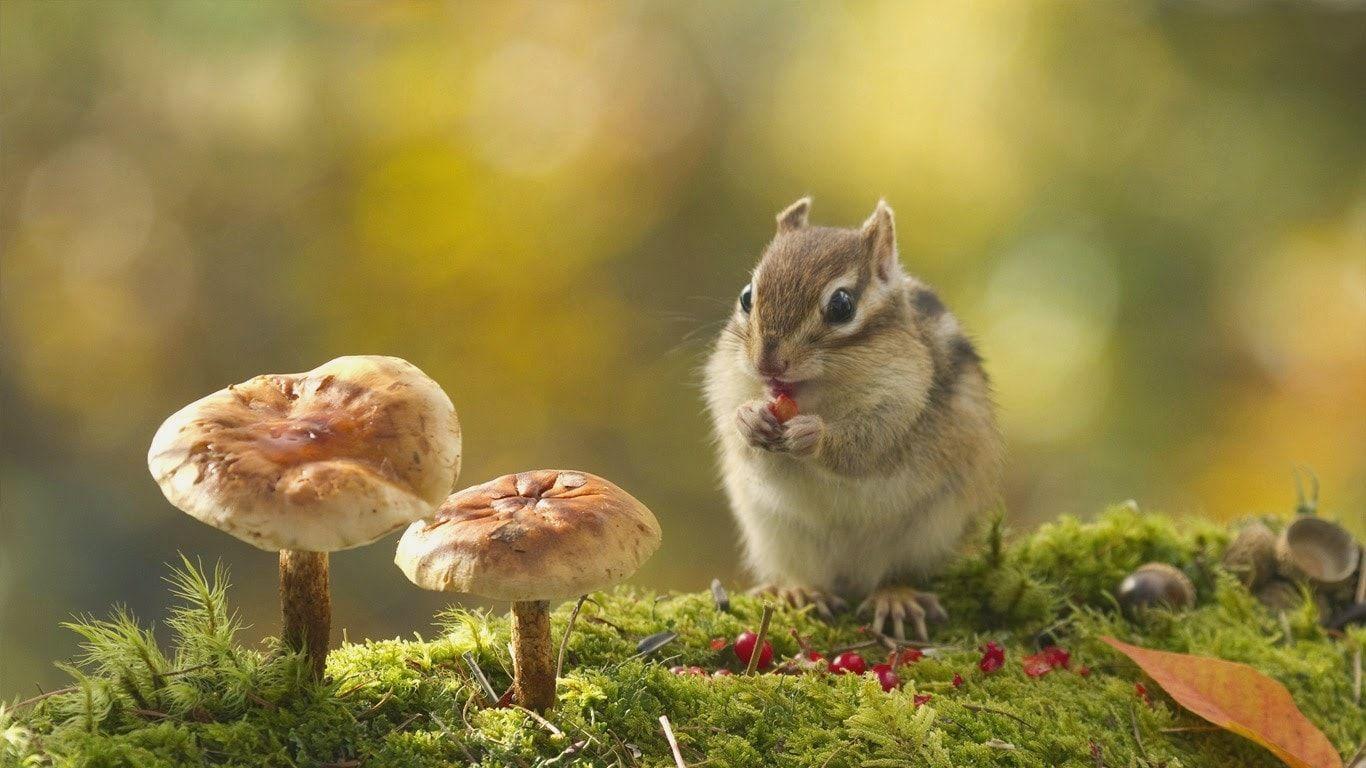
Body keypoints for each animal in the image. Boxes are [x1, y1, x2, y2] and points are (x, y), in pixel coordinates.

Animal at [703, 197, 1003, 640]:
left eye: (842, 305)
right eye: (746, 296)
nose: (766, 363)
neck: (818, 394)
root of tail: (851, 578)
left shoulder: (900, 405)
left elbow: (864, 449)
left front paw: (813, 436)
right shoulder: (727, 387)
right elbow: (745, 443)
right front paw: (750, 419)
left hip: (926, 534)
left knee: (896, 572)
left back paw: (895, 597)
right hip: (777, 536)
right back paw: (798, 591)